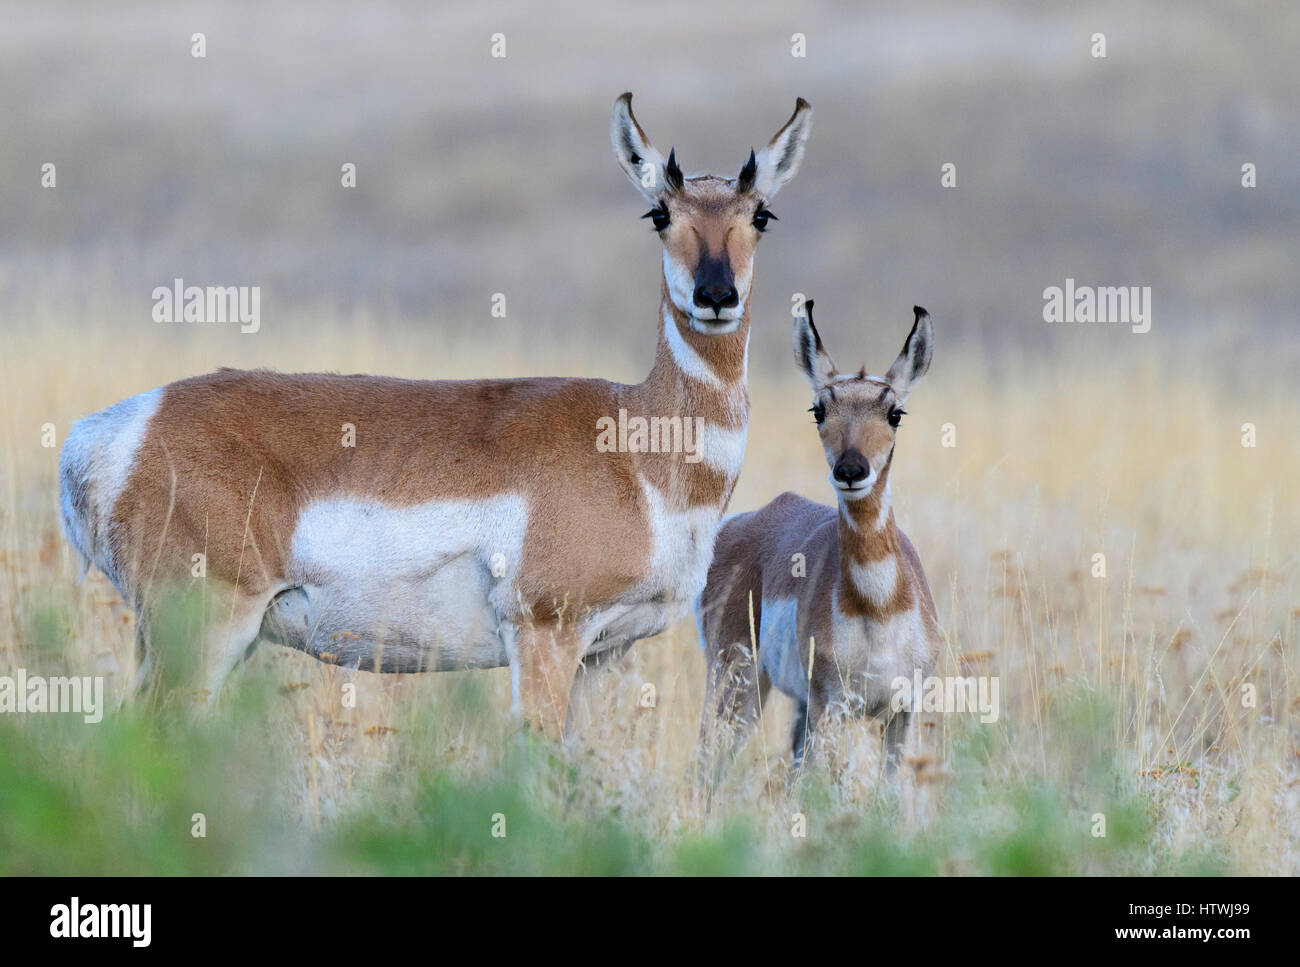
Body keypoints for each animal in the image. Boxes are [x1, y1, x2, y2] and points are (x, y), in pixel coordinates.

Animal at [58, 93, 812, 738]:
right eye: (660, 213)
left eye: (761, 215)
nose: (716, 294)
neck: (635, 443)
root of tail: (109, 430)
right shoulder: (544, 632)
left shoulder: (601, 657)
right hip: (205, 632)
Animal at [695, 301, 939, 797]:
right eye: (819, 409)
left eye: (895, 413)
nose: (851, 469)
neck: (878, 608)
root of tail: (743, 521)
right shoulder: (833, 710)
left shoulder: (901, 714)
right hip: (740, 686)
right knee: (711, 763)